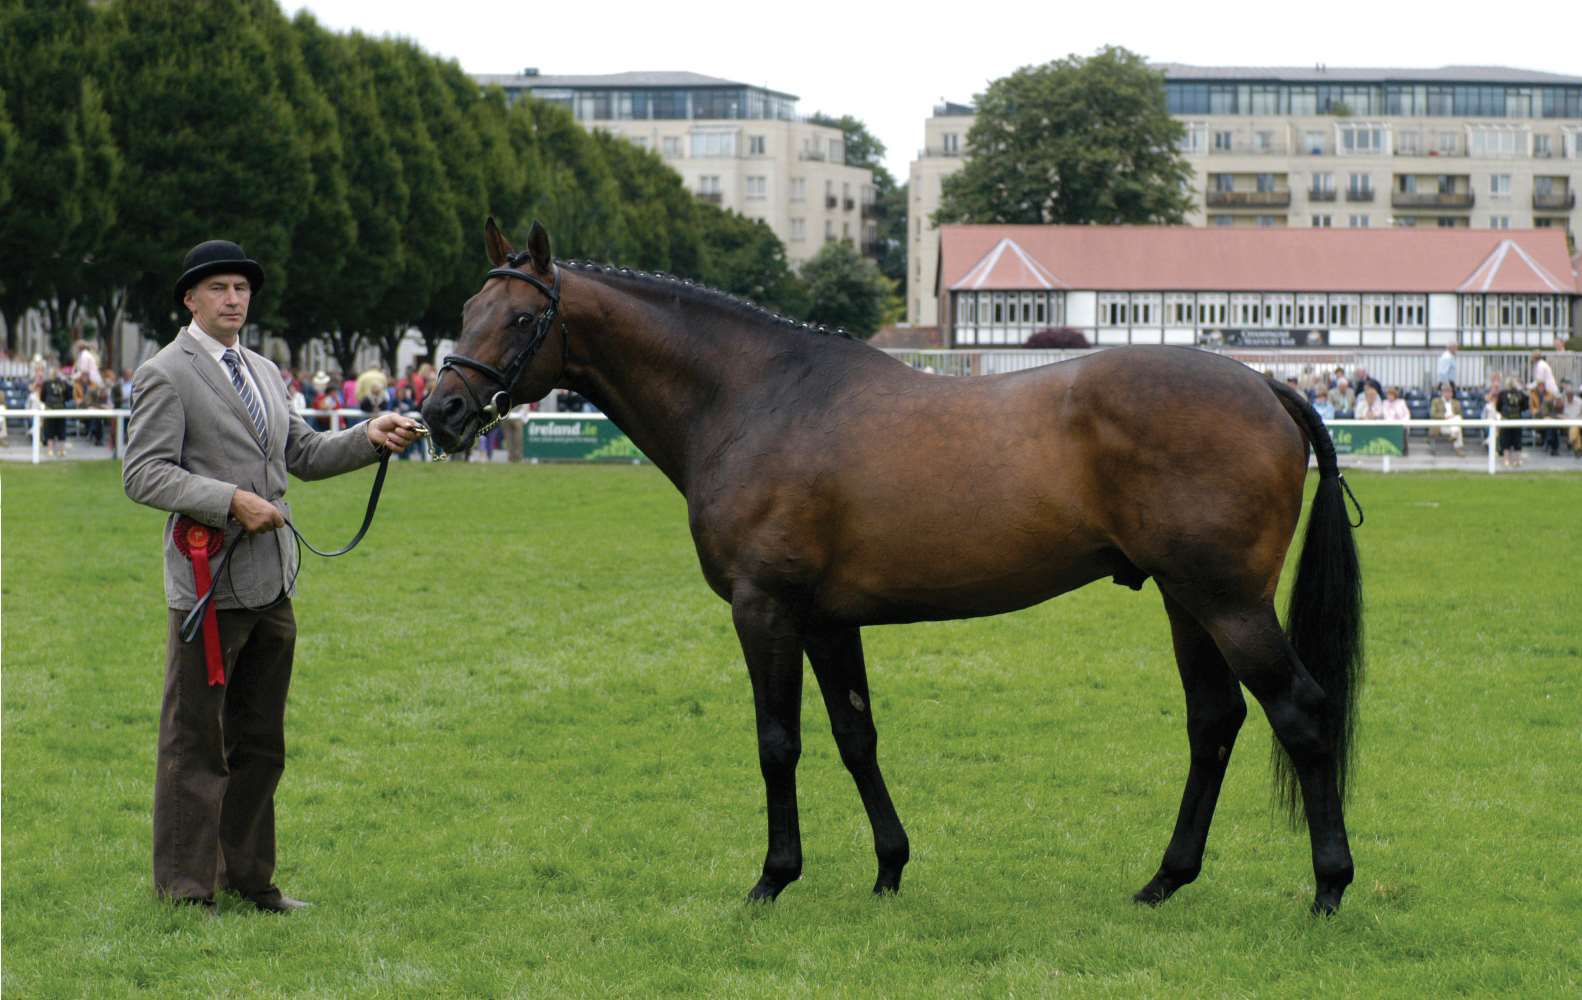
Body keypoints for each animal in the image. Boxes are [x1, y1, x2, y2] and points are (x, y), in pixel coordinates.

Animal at [422, 219, 1365, 915]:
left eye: (521, 318)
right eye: (467, 306)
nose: (442, 412)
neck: (757, 398)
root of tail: (1267, 386)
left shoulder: (765, 609)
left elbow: (778, 742)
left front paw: (772, 879)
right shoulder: (829, 620)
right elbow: (855, 736)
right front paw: (888, 868)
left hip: (1228, 601)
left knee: (1302, 714)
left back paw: (1328, 888)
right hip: (1184, 599)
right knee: (1214, 723)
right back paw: (1165, 880)